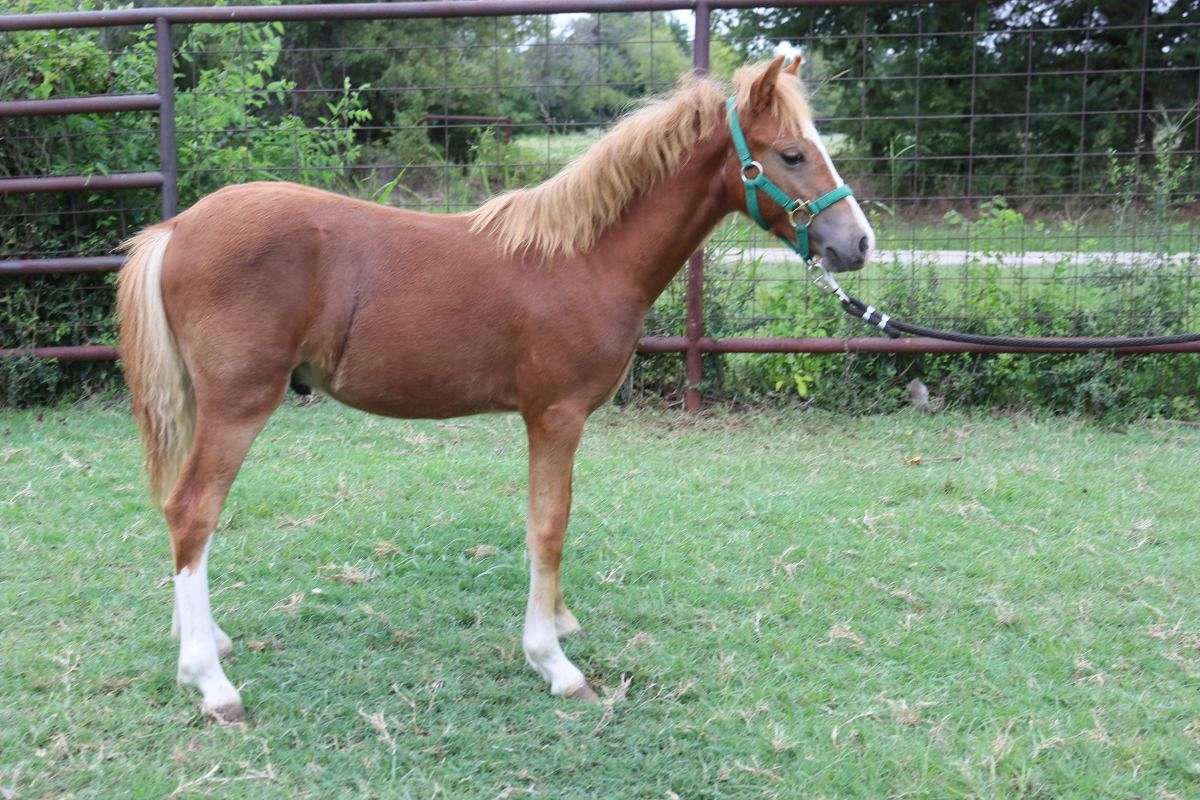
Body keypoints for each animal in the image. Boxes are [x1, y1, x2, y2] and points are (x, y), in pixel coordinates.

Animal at [116, 55, 874, 724]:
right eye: (792, 154)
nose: (859, 243)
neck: (584, 257)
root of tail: (177, 227)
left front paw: (560, 626)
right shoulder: (555, 416)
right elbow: (549, 524)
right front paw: (554, 664)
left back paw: (205, 642)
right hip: (238, 405)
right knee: (193, 511)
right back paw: (211, 682)